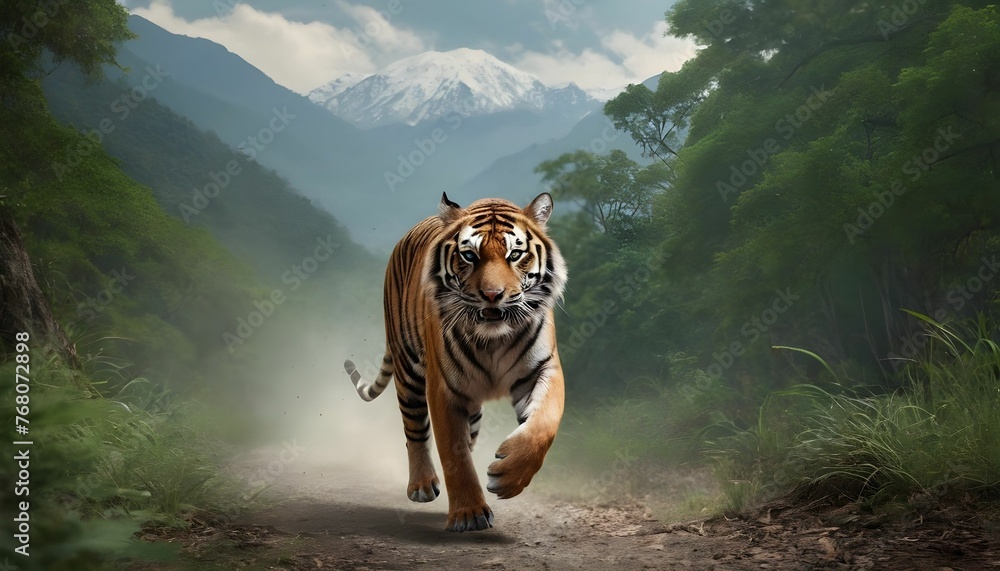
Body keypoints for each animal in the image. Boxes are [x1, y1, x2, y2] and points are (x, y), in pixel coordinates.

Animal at [343, 192, 567, 532]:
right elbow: (453, 451)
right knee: (415, 432)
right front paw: (468, 514)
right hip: (408, 370)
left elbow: (543, 425)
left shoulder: (542, 369)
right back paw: (421, 485)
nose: (492, 295)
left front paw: (508, 477)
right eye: (470, 256)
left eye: (516, 254)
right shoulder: (444, 388)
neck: (493, 339)